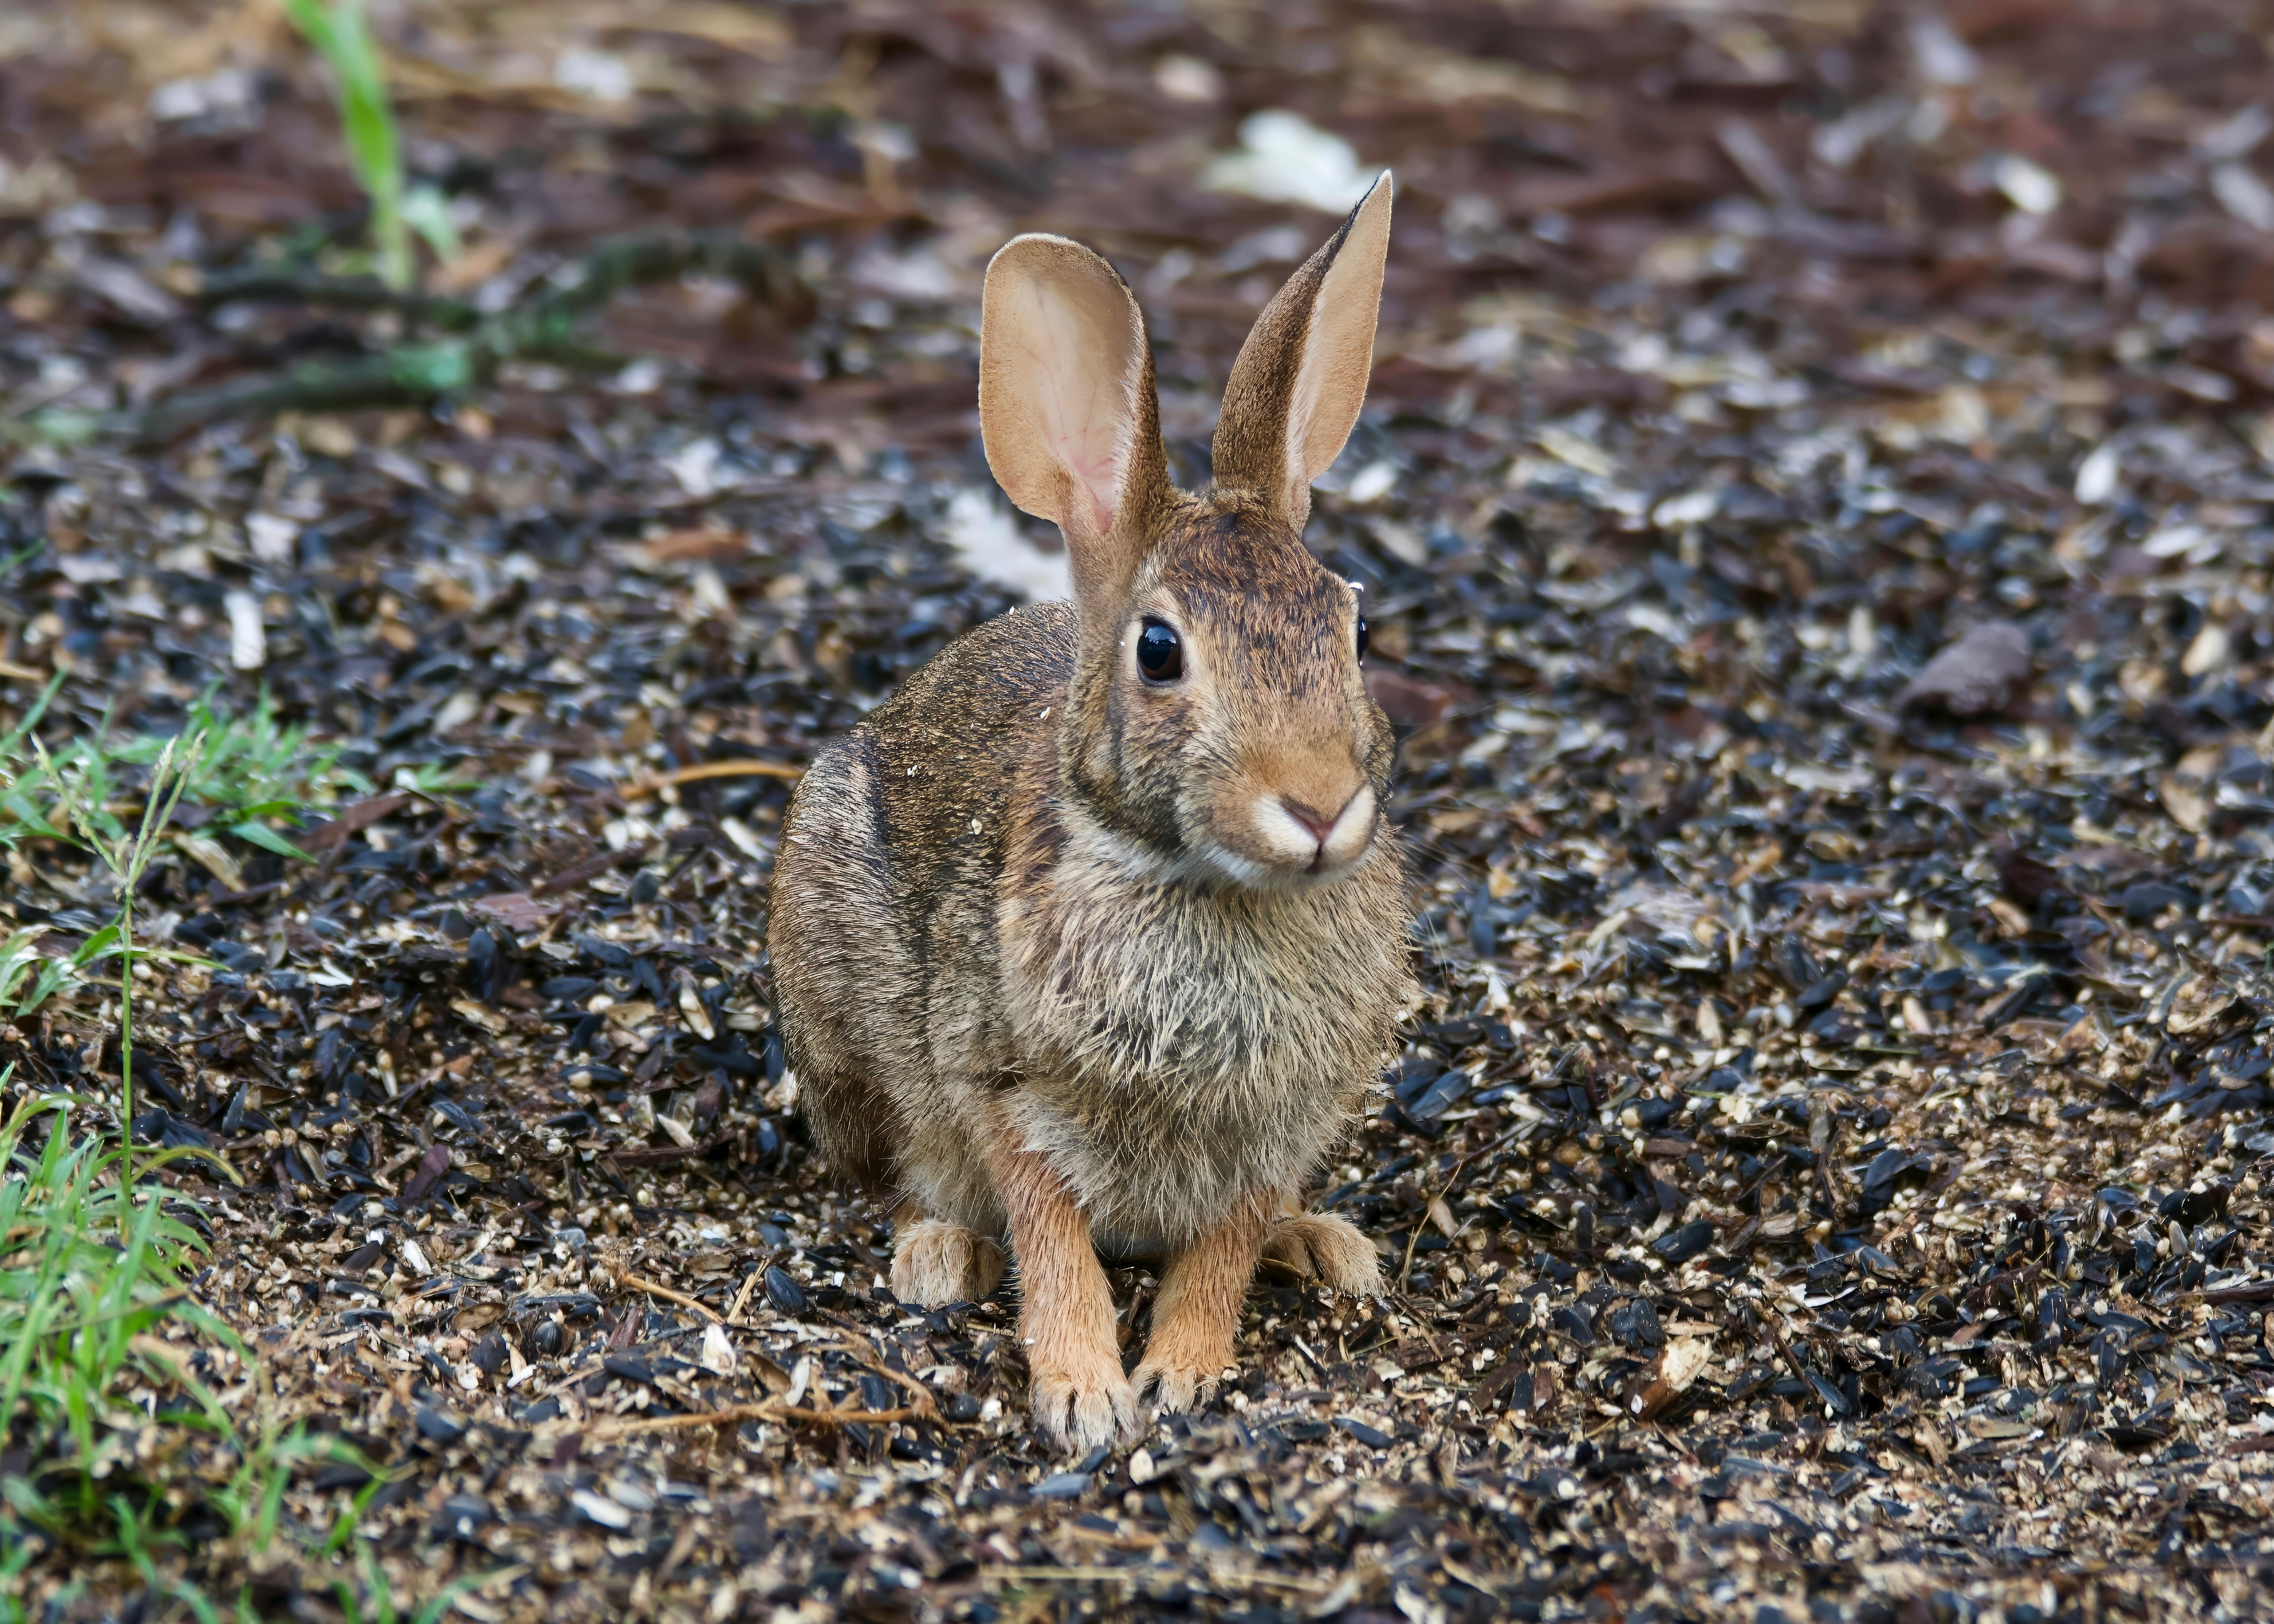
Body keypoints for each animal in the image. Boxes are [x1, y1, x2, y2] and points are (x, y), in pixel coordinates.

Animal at [768, 172, 1414, 1452]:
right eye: (1159, 652)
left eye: (1355, 628)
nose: (1319, 807)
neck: (1211, 887)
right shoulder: (1000, 1081)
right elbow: (1051, 1235)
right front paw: (1084, 1394)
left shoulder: (1277, 1122)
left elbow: (1221, 1246)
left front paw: (1182, 1370)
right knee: (897, 1174)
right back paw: (934, 1256)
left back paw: (1323, 1244)